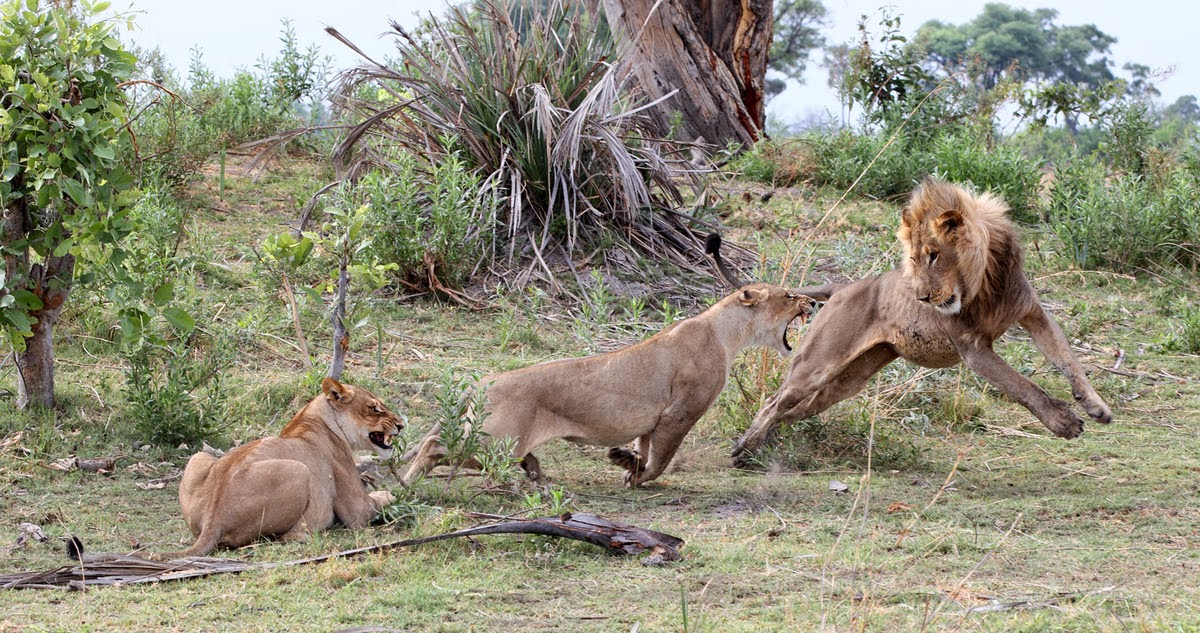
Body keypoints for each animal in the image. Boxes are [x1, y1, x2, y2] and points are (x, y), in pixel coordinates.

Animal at [153, 378, 403, 559]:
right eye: (374, 409)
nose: (401, 425)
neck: (312, 416)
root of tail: (212, 519)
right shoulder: (357, 511)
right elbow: (382, 498)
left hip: (198, 456)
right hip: (299, 469)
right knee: (285, 536)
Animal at [403, 284, 812, 488]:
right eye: (789, 296)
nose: (813, 301)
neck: (726, 332)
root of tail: (485, 381)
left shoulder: (652, 421)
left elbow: (645, 449)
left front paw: (628, 465)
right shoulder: (679, 413)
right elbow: (661, 460)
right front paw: (637, 475)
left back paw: (531, 467)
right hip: (499, 439)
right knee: (437, 443)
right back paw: (407, 483)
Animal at [719, 178, 1113, 466]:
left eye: (934, 255)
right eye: (913, 258)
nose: (921, 298)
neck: (987, 280)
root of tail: (843, 286)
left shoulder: (1032, 313)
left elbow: (1068, 359)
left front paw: (1097, 406)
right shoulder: (973, 348)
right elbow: (1022, 386)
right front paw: (1063, 421)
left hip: (850, 379)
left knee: (796, 409)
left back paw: (763, 444)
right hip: (818, 362)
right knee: (775, 401)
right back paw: (744, 449)